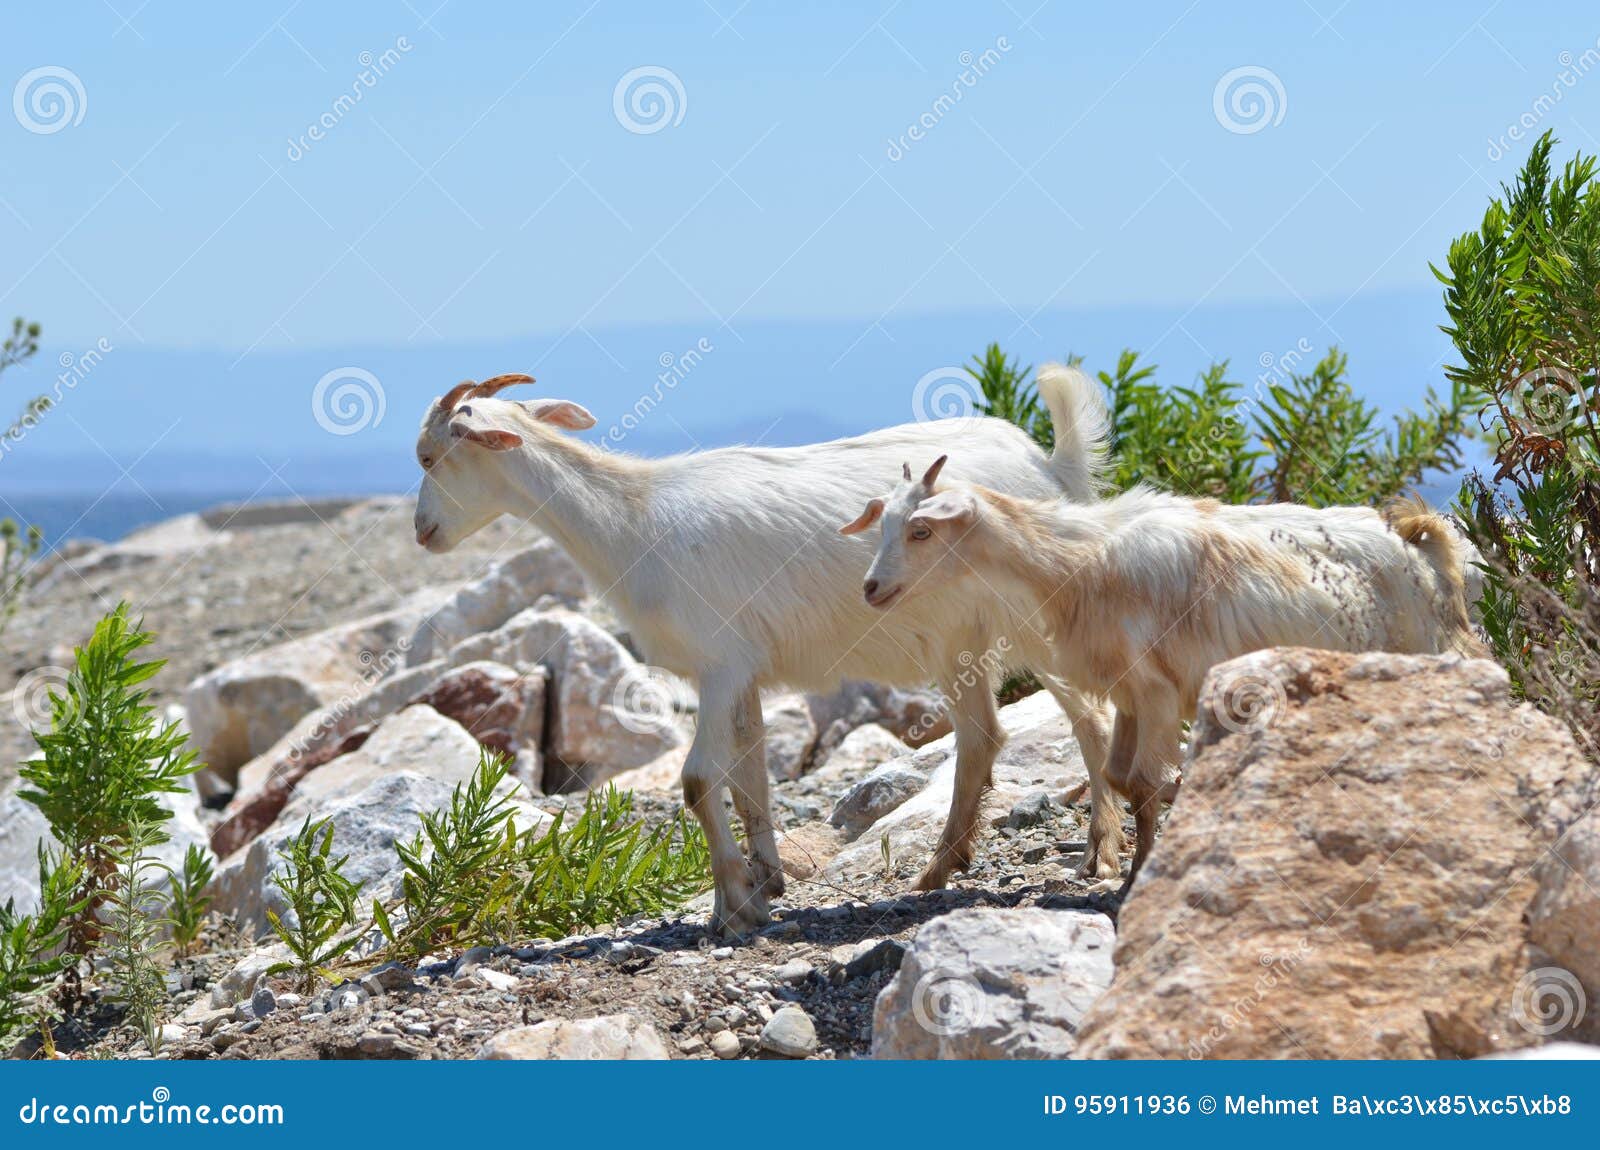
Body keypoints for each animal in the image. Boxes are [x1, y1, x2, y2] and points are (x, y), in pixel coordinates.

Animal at [413, 369, 1124, 936]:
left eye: (431, 457)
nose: (423, 533)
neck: (630, 521)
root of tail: (1051, 467)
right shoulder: (744, 672)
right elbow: (749, 775)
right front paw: (763, 883)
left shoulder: (720, 663)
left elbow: (700, 779)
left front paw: (735, 907)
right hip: (964, 641)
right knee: (994, 734)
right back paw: (969, 865)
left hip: (1022, 622)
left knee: (1079, 718)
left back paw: (1085, 851)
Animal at [844, 454, 1489, 890]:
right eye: (883, 526)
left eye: (921, 529)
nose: (870, 589)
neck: (1076, 563)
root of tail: (1420, 541)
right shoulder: (1132, 694)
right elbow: (1123, 777)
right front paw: (1139, 860)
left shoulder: (1156, 691)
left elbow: (1142, 779)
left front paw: (1146, 861)